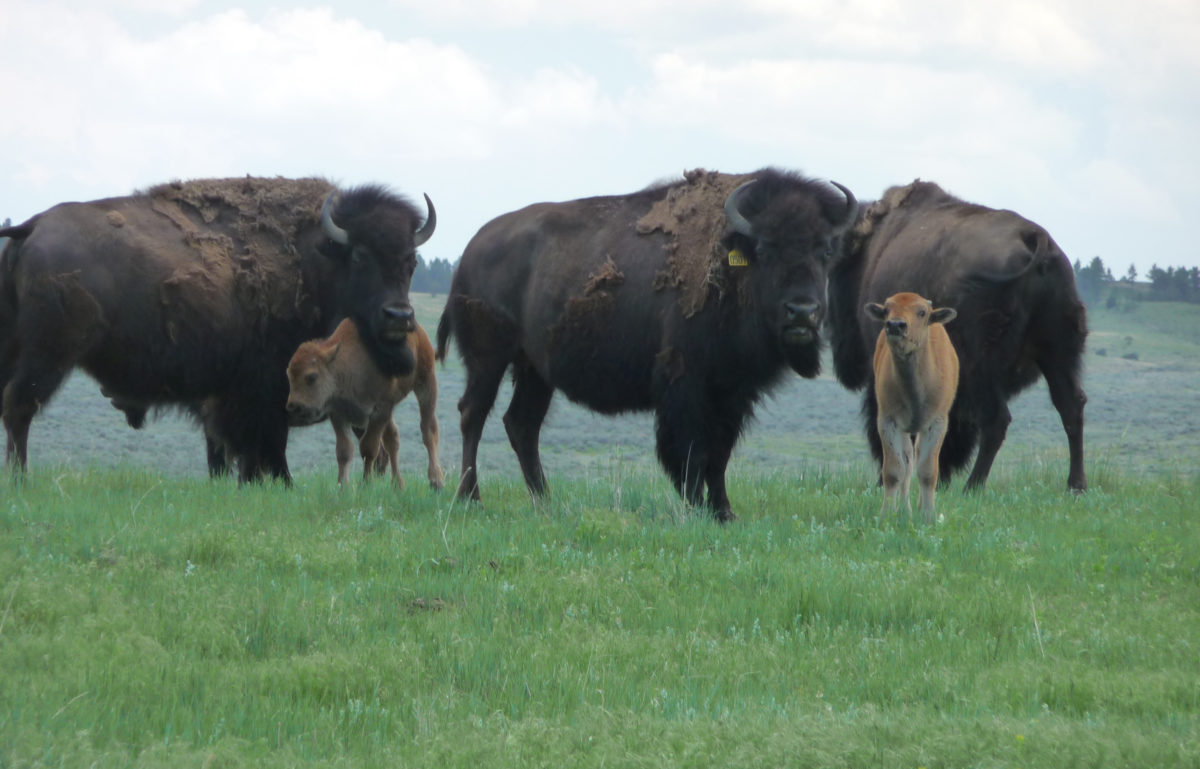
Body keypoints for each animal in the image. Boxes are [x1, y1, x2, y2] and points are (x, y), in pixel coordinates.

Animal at [0, 176, 435, 482]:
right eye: (360, 256)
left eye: (411, 260)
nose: (399, 317)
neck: (315, 259)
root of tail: (31, 226)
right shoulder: (263, 394)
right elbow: (268, 450)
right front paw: (279, 484)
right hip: (48, 355)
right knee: (19, 407)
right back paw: (21, 480)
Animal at [436, 168, 857, 521]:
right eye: (766, 249)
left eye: (825, 250)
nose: (802, 312)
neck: (733, 264)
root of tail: (470, 252)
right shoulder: (685, 384)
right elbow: (691, 452)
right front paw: (696, 509)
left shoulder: (733, 392)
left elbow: (719, 454)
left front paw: (724, 512)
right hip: (488, 360)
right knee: (473, 414)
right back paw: (470, 497)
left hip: (535, 370)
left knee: (522, 424)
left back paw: (545, 501)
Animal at [828, 180, 1087, 493]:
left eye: (835, 270)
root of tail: (1037, 239)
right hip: (1058, 352)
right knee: (1070, 406)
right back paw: (1076, 486)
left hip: (982, 368)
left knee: (997, 420)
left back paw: (973, 487)